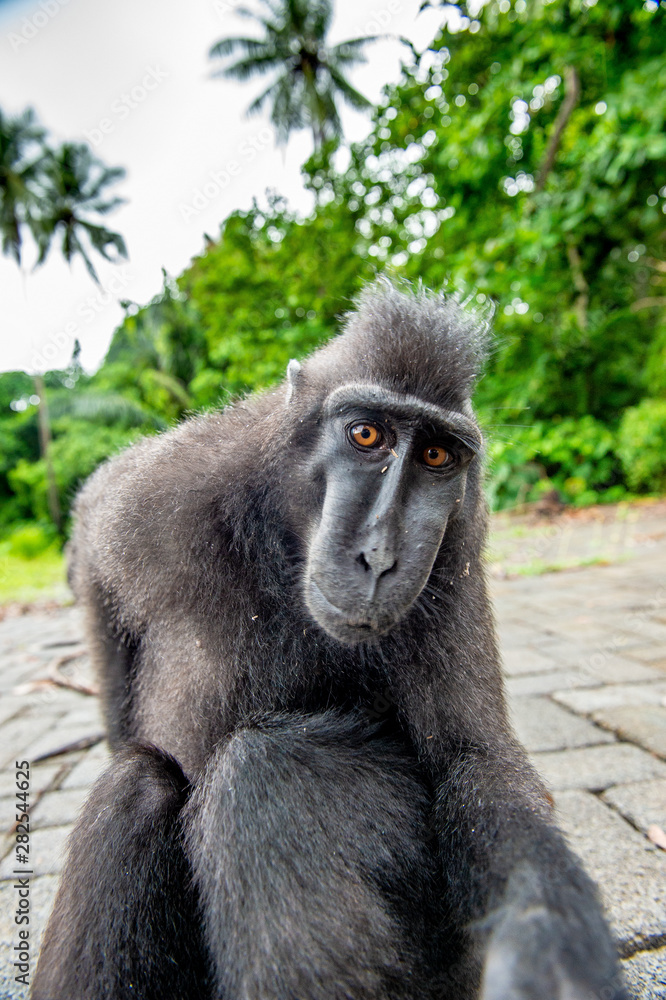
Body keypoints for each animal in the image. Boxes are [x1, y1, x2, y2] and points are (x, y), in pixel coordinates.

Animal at [33, 281, 628, 1000]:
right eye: (366, 434)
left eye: (436, 456)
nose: (379, 557)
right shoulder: (163, 488)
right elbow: (91, 545)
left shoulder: (455, 557)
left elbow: (473, 761)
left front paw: (548, 954)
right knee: (138, 783)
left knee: (267, 764)